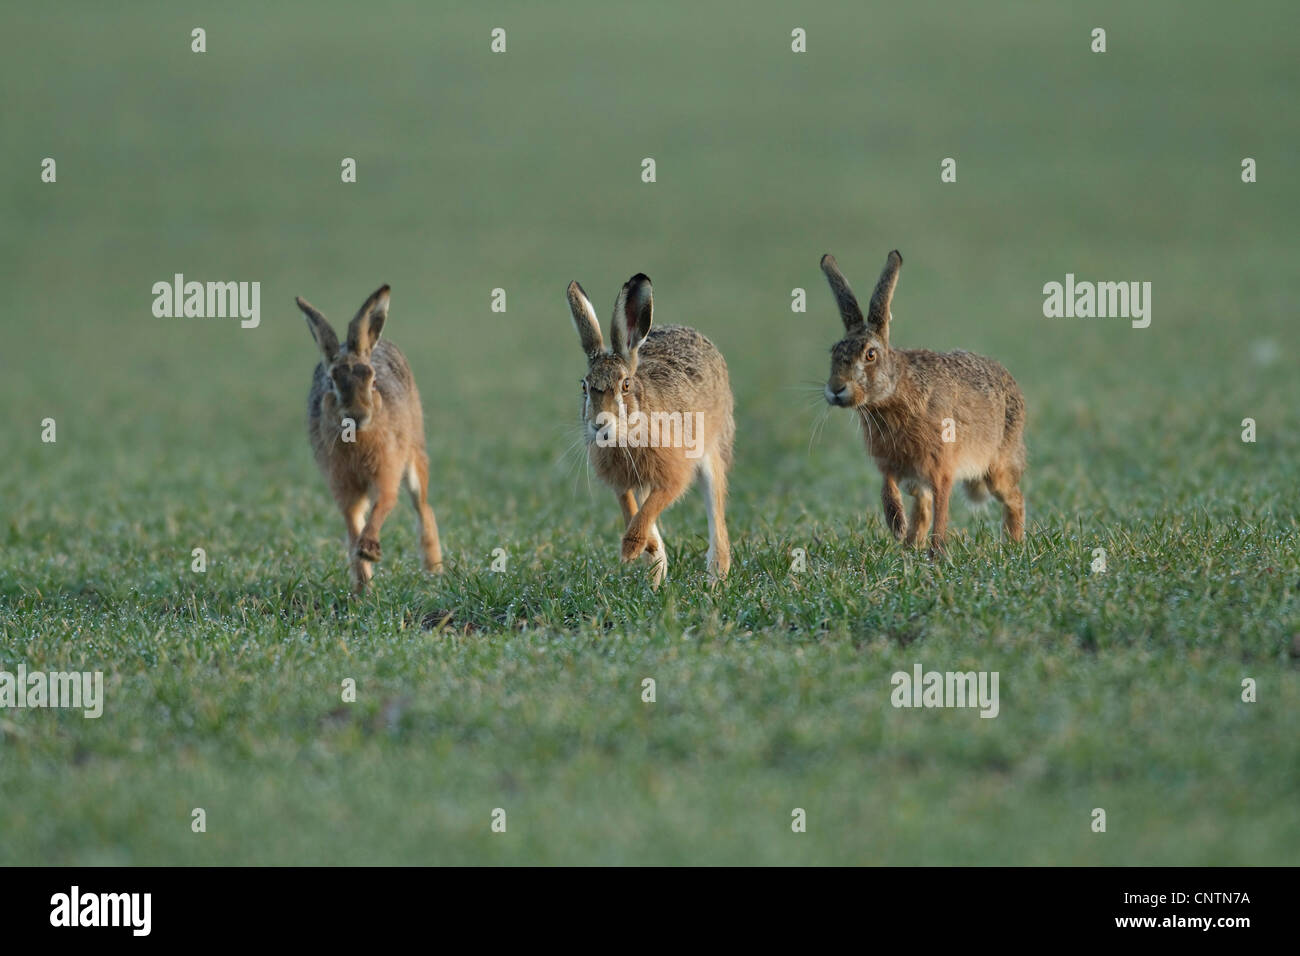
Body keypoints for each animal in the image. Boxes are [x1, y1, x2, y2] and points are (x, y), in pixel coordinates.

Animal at [296, 284, 443, 593]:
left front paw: (369, 550)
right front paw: (363, 581)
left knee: (423, 508)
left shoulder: (388, 469)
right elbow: (353, 524)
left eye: (372, 380)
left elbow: (383, 505)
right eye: (332, 382)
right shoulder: (342, 484)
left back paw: (434, 570)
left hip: (414, 455)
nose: (358, 415)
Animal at [566, 273, 735, 586]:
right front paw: (646, 548)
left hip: (713, 449)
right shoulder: (622, 482)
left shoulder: (673, 472)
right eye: (584, 386)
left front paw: (631, 548)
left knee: (715, 513)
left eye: (625, 385)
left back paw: (715, 578)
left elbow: (654, 504)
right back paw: (656, 574)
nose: (599, 424)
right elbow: (631, 507)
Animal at [818, 250, 1026, 553]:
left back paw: (1013, 543)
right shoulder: (893, 465)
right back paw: (909, 544)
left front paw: (937, 553)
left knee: (1014, 497)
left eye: (870, 354)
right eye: (834, 351)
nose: (836, 389)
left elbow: (942, 511)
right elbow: (888, 488)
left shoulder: (941, 469)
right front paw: (896, 523)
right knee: (923, 506)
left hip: (996, 468)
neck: (892, 397)